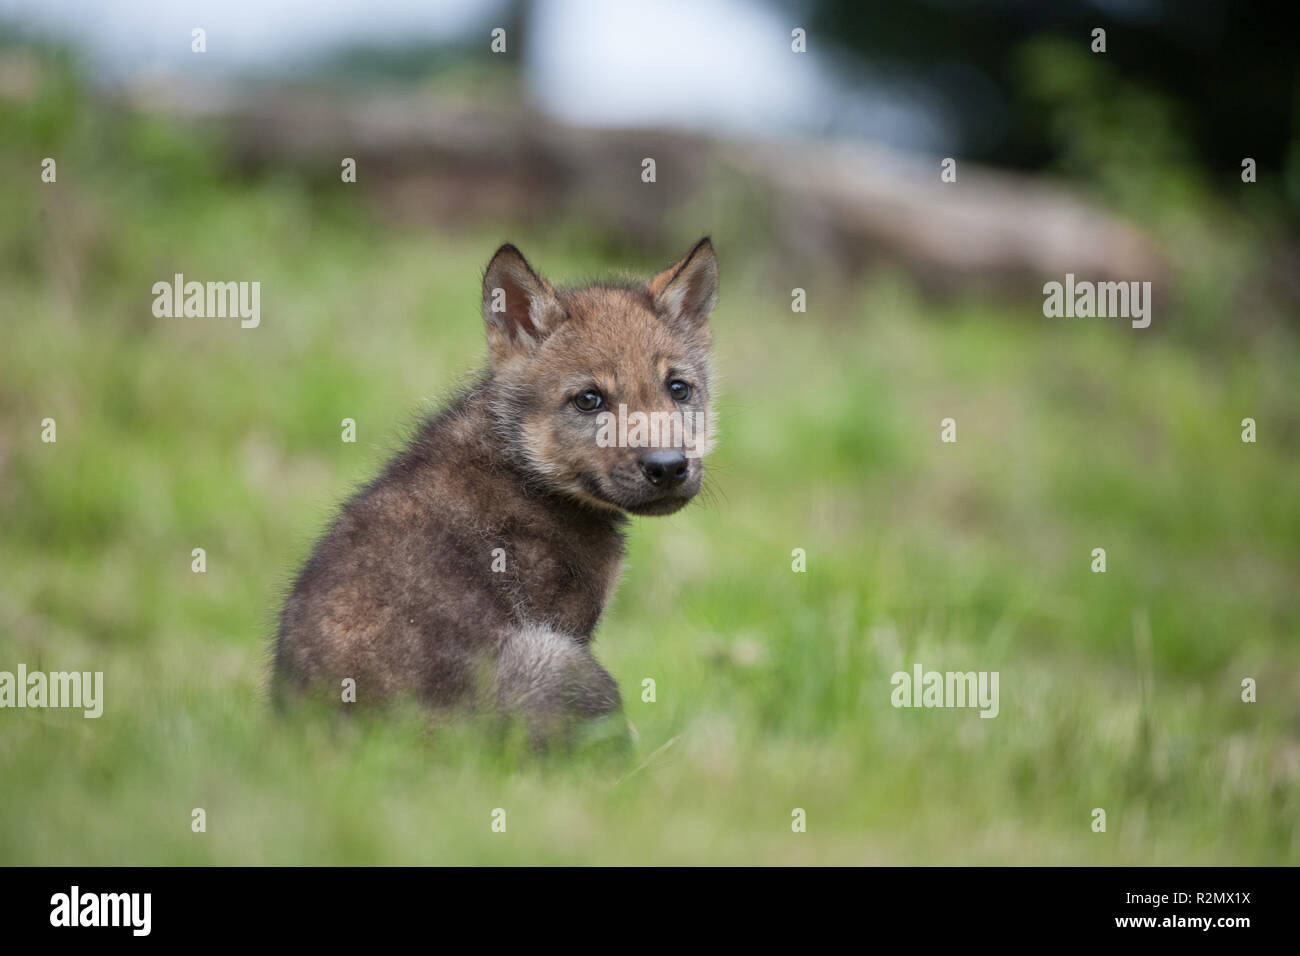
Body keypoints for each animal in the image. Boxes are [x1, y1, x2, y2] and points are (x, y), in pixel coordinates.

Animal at [272, 238, 718, 746]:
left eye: (678, 389)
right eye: (589, 400)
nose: (668, 466)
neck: (522, 465)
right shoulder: (564, 626)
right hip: (559, 664)